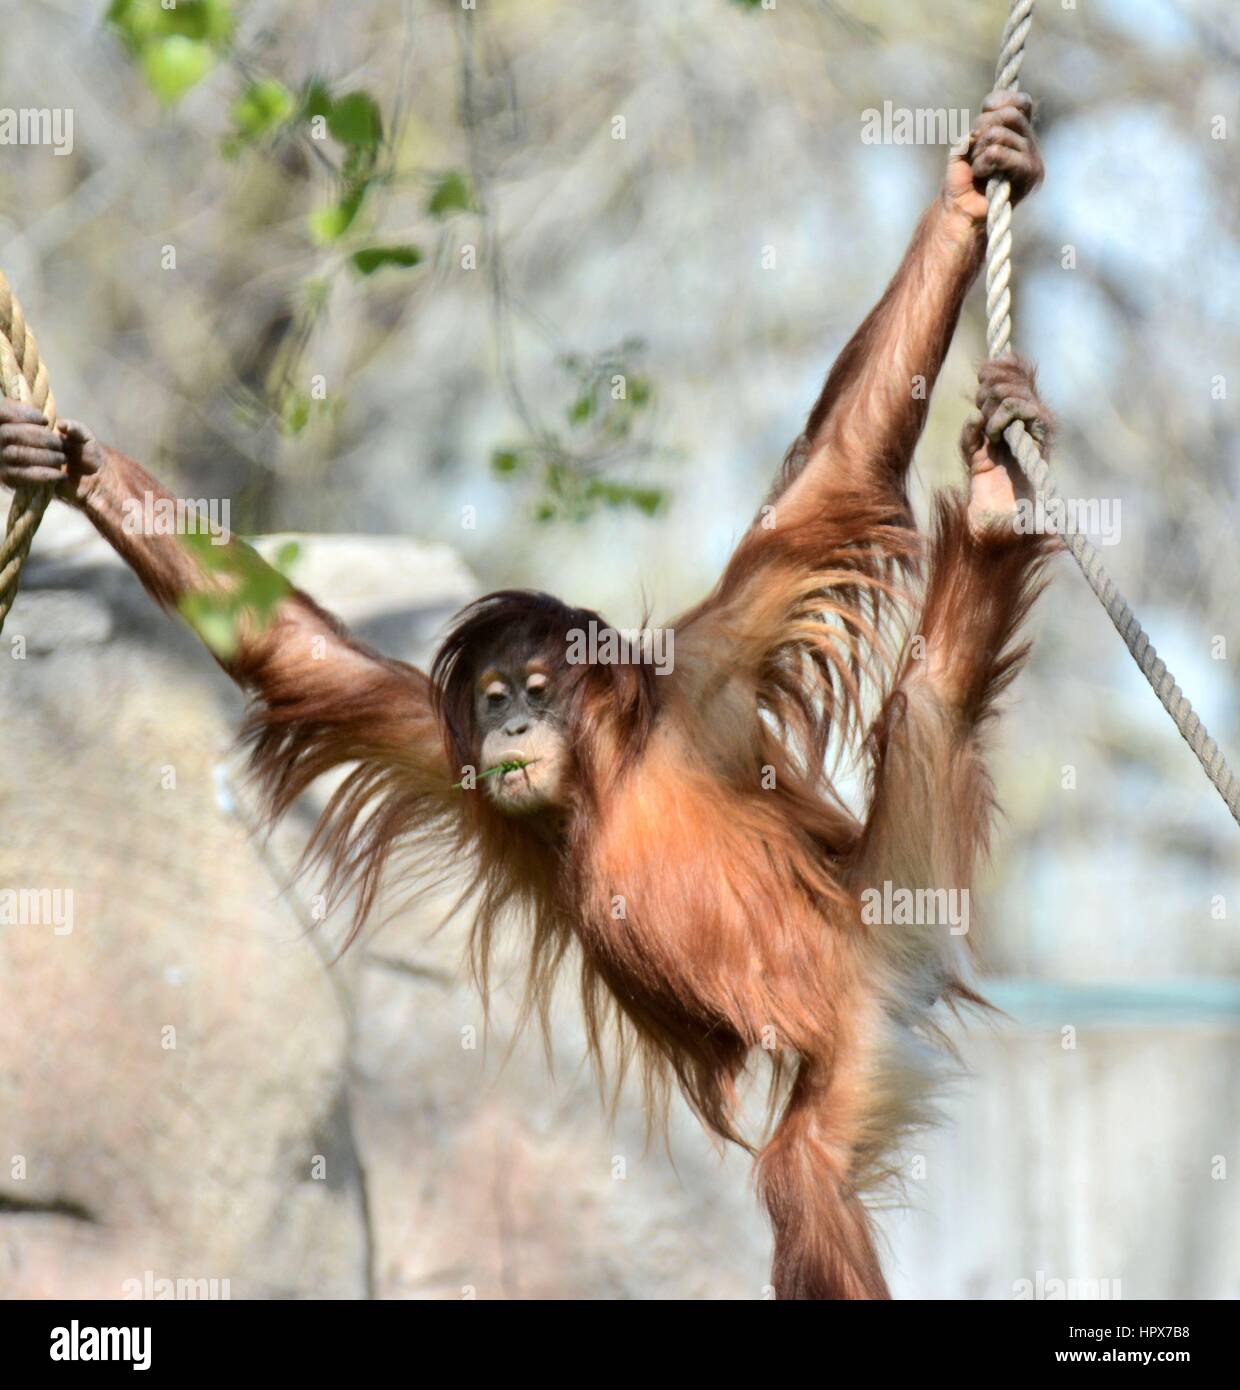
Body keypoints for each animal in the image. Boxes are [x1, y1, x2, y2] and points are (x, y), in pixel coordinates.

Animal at [0, 90, 1050, 1299]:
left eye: (539, 689)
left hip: (867, 988)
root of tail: (903, 962)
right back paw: (994, 511)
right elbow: (295, 657)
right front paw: (70, 465)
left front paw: (964, 193)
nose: (507, 719)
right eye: (497, 691)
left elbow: (833, 473)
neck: (609, 774)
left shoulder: (713, 667)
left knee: (808, 1169)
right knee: (927, 701)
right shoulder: (441, 745)